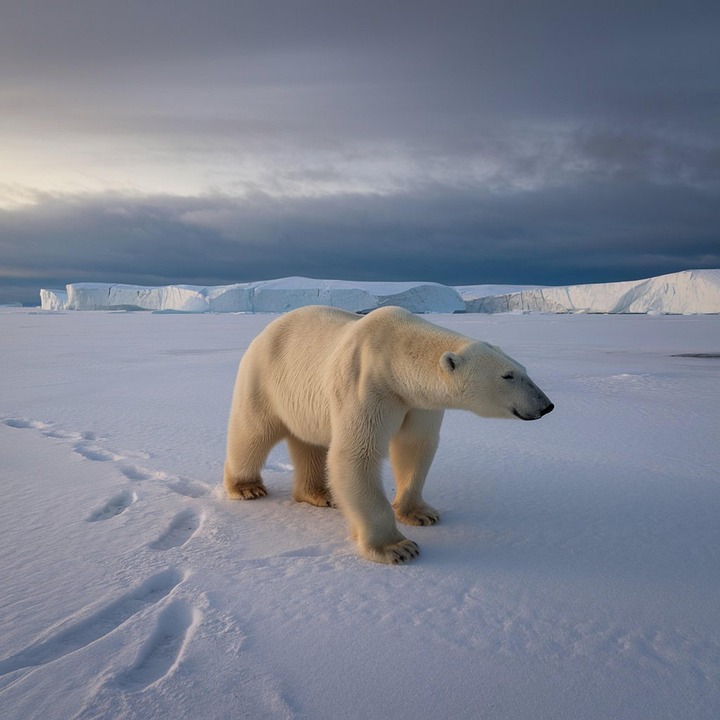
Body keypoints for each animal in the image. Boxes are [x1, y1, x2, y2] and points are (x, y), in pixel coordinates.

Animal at [223, 305, 554, 564]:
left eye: (525, 370)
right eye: (508, 376)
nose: (546, 405)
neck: (394, 353)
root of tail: (265, 331)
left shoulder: (417, 402)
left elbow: (415, 446)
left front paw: (420, 514)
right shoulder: (366, 384)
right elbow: (357, 454)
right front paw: (398, 547)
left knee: (309, 442)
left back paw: (319, 493)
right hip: (264, 377)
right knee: (253, 431)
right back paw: (247, 487)